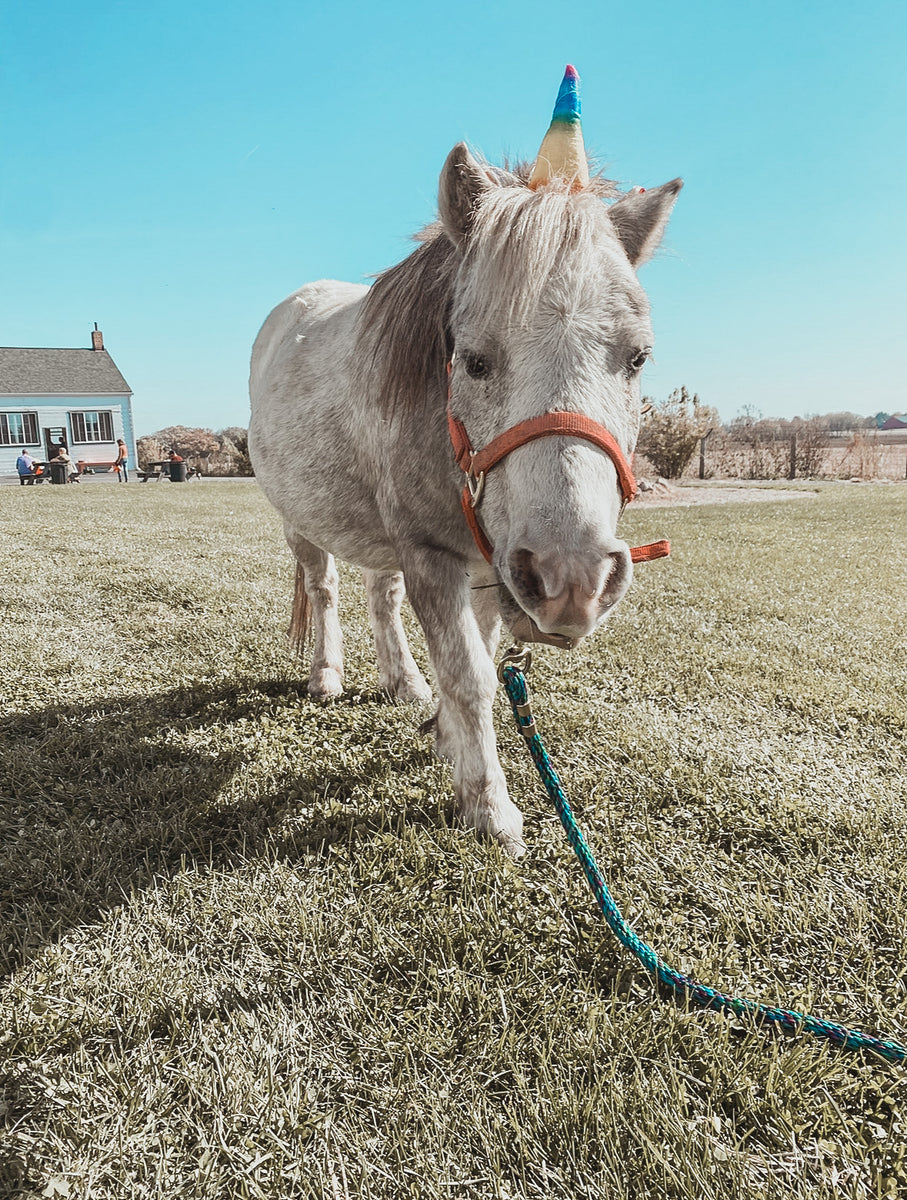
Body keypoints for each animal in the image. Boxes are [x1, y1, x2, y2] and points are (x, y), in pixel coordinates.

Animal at [249, 67, 682, 855]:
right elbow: (473, 676)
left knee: (379, 595)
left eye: (637, 358)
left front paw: (446, 736)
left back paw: (402, 682)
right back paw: (327, 675)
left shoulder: (491, 563)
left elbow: (473, 654)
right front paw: (489, 806)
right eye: (473, 360)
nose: (573, 578)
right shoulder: (433, 554)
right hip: (301, 521)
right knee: (323, 587)